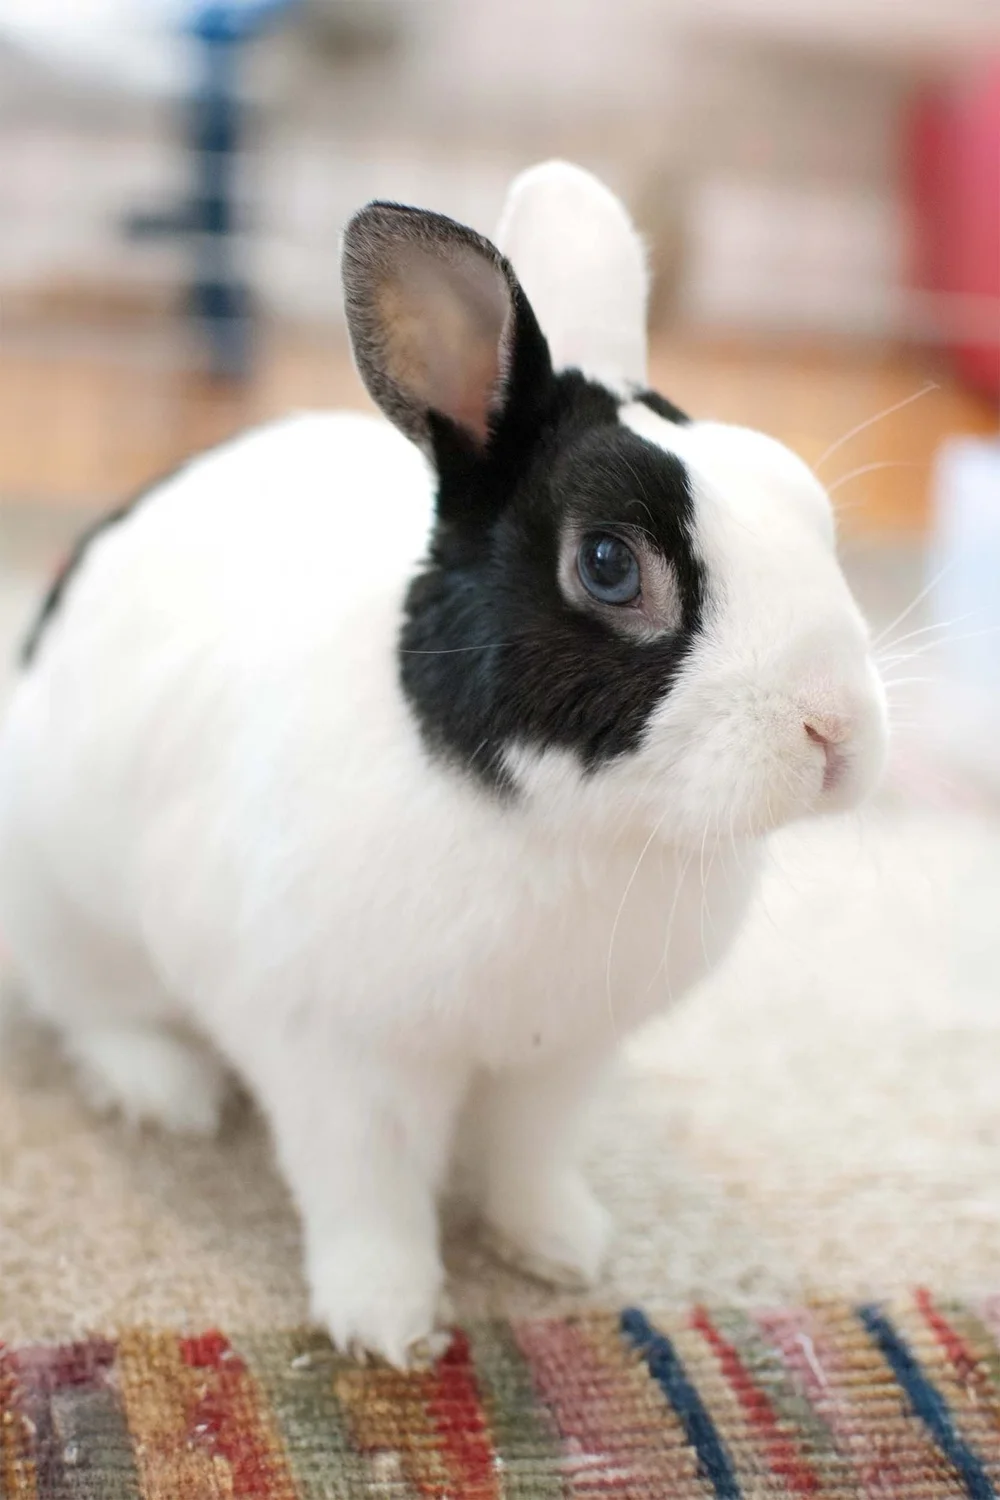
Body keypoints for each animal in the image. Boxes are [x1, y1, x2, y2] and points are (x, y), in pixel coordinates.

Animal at [0, 162, 887, 1366]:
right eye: (608, 565)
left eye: (806, 501)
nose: (835, 731)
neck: (563, 822)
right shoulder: (340, 1060)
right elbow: (366, 1192)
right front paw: (388, 1325)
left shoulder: (560, 1057)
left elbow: (529, 1156)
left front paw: (561, 1249)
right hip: (71, 915)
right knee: (86, 1008)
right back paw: (165, 1092)